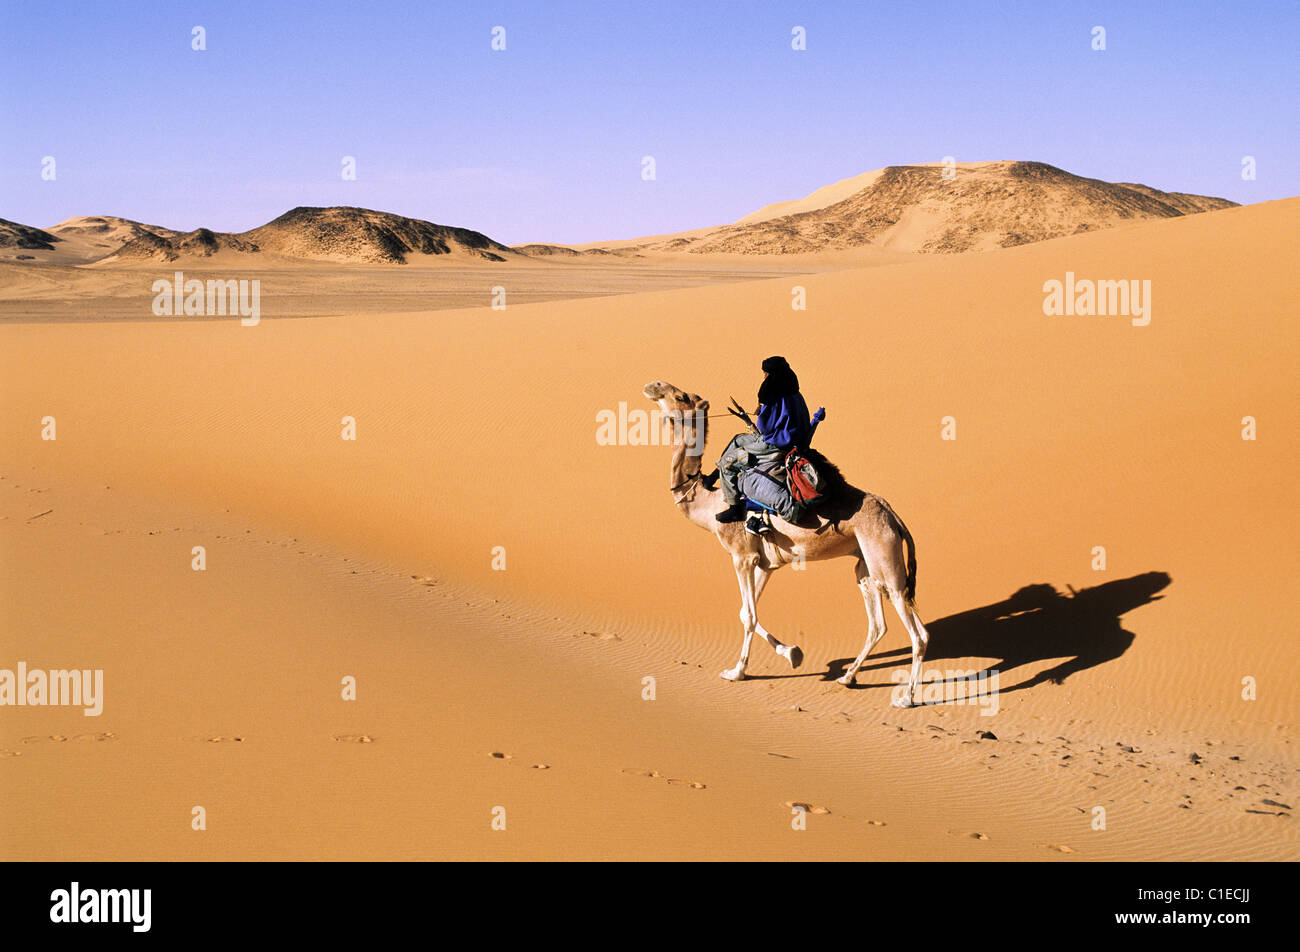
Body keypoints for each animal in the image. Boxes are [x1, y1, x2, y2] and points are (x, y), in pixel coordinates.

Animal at [643, 381, 931, 707]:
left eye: (679, 396)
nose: (653, 386)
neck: (709, 504)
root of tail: (895, 518)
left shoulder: (741, 556)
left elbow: (749, 616)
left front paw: (737, 672)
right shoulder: (765, 563)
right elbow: (745, 611)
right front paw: (793, 653)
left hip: (884, 558)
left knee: (916, 631)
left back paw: (906, 698)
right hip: (866, 564)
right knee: (879, 623)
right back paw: (848, 678)